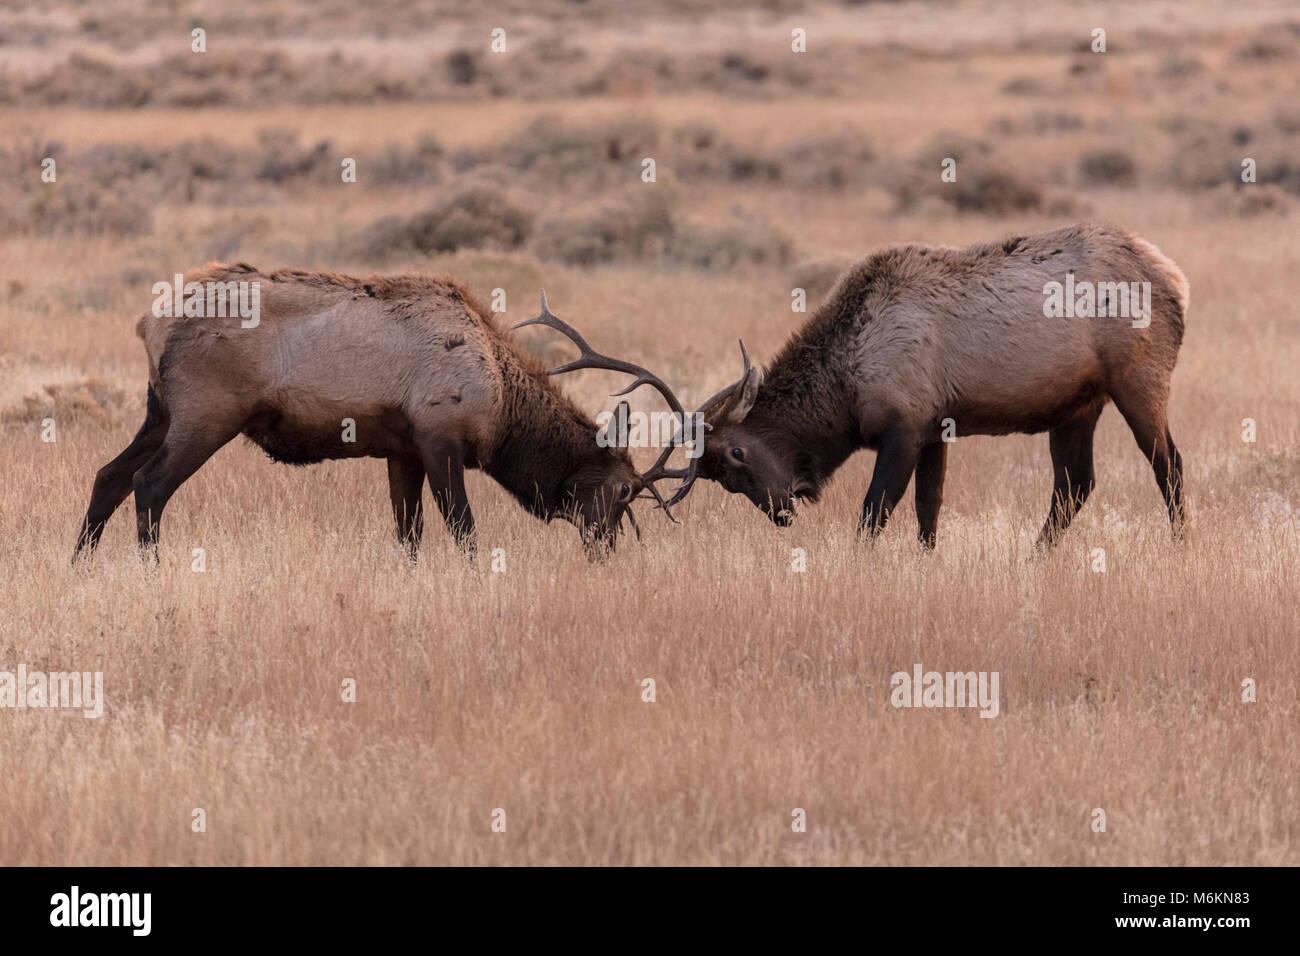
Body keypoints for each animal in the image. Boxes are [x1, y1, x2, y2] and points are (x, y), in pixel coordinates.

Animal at [73, 264, 687, 562]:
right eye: (623, 492)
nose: (604, 551)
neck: (502, 414)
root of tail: (149, 323)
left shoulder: (401, 451)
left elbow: (408, 533)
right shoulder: (441, 438)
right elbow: (463, 530)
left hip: (159, 411)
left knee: (108, 475)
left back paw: (79, 567)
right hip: (207, 415)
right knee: (148, 484)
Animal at [660, 223, 1189, 549]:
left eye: (736, 455)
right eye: (722, 479)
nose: (780, 510)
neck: (846, 385)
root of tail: (1176, 280)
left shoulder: (905, 429)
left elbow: (874, 513)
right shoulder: (938, 429)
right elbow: (927, 511)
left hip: (1138, 380)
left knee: (1169, 464)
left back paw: (1180, 546)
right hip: (1076, 406)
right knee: (1074, 484)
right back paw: (1033, 557)